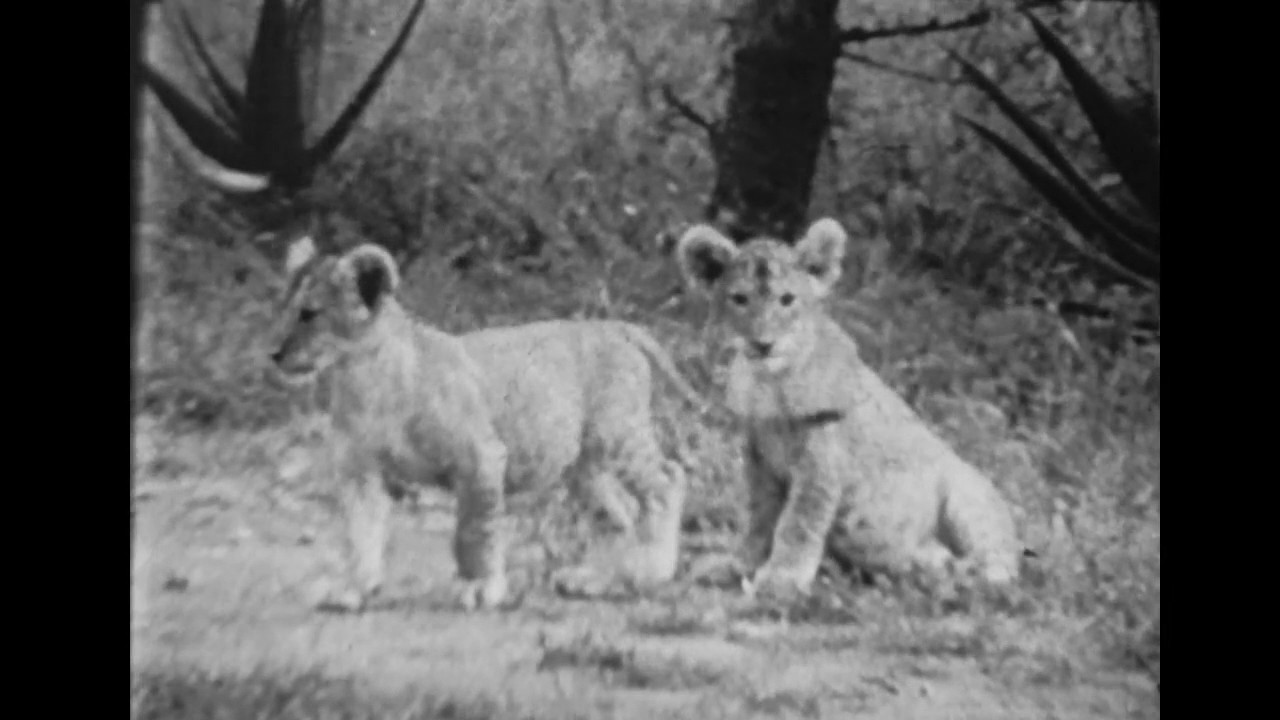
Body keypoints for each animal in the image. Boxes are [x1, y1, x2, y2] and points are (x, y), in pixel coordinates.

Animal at [270, 236, 714, 611]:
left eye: (309, 313)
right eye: (285, 308)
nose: (274, 354)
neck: (361, 379)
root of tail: (614, 325)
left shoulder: (480, 456)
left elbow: (473, 530)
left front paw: (480, 587)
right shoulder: (360, 472)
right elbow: (360, 532)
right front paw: (354, 588)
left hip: (617, 432)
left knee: (667, 481)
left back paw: (652, 571)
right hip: (584, 466)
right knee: (622, 513)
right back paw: (602, 579)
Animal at [674, 217, 1026, 601]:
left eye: (787, 299)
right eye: (739, 299)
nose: (763, 344)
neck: (771, 384)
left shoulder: (822, 462)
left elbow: (798, 523)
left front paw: (783, 579)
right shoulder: (759, 458)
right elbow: (760, 517)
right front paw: (740, 564)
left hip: (964, 488)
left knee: (1000, 570)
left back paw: (947, 572)